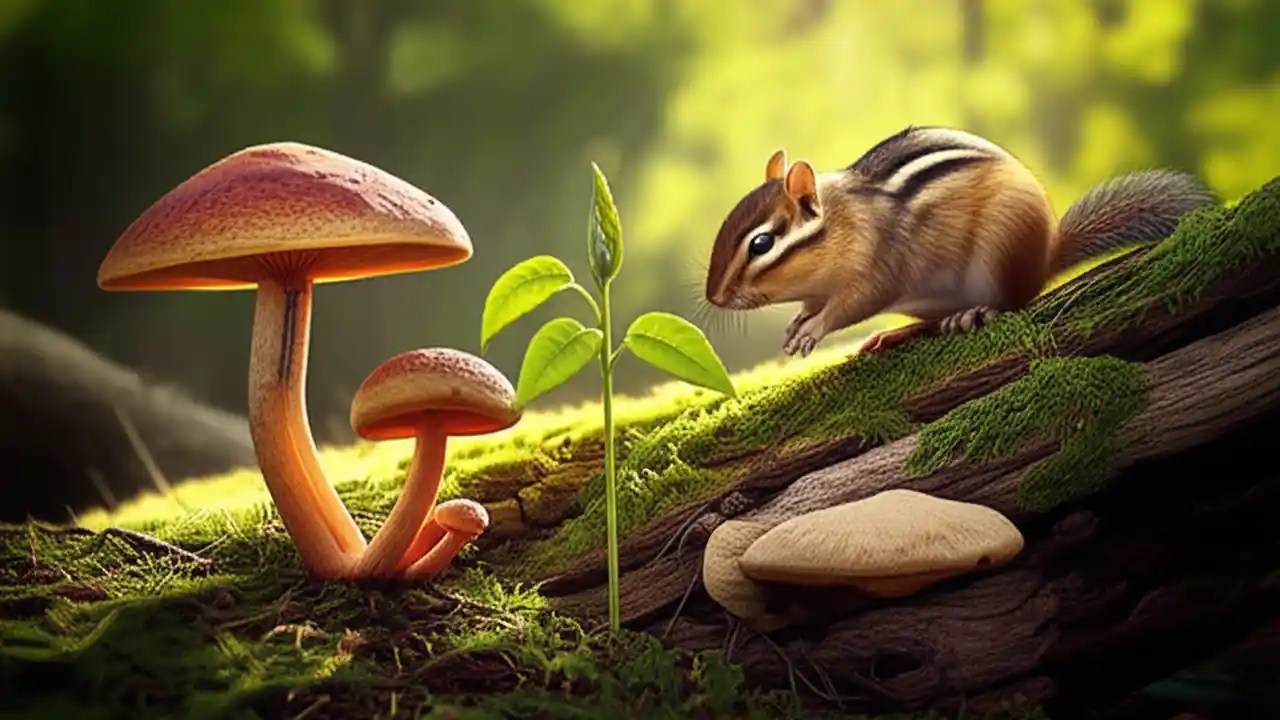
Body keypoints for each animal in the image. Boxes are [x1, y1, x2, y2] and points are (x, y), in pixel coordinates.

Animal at [704, 125, 1215, 356]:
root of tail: (1045, 257)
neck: (843, 220)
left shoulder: (879, 262)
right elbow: (814, 302)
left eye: (761, 244)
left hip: (999, 253)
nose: (714, 297)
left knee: (1013, 301)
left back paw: (974, 313)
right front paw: (797, 323)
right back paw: (895, 333)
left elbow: (853, 302)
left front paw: (813, 329)